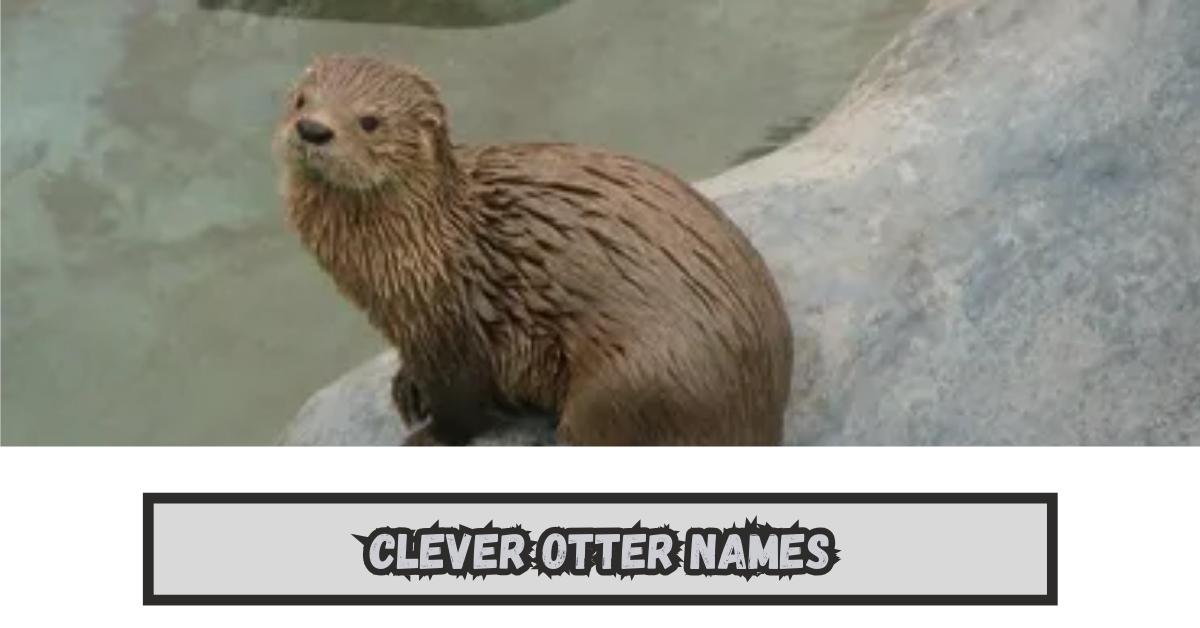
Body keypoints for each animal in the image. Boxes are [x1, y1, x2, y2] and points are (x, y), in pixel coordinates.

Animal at [275, 55, 793, 445]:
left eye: (370, 121)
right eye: (301, 100)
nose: (313, 129)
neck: (425, 243)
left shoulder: (451, 324)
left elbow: (462, 405)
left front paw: (426, 437)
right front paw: (406, 385)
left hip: (629, 388)